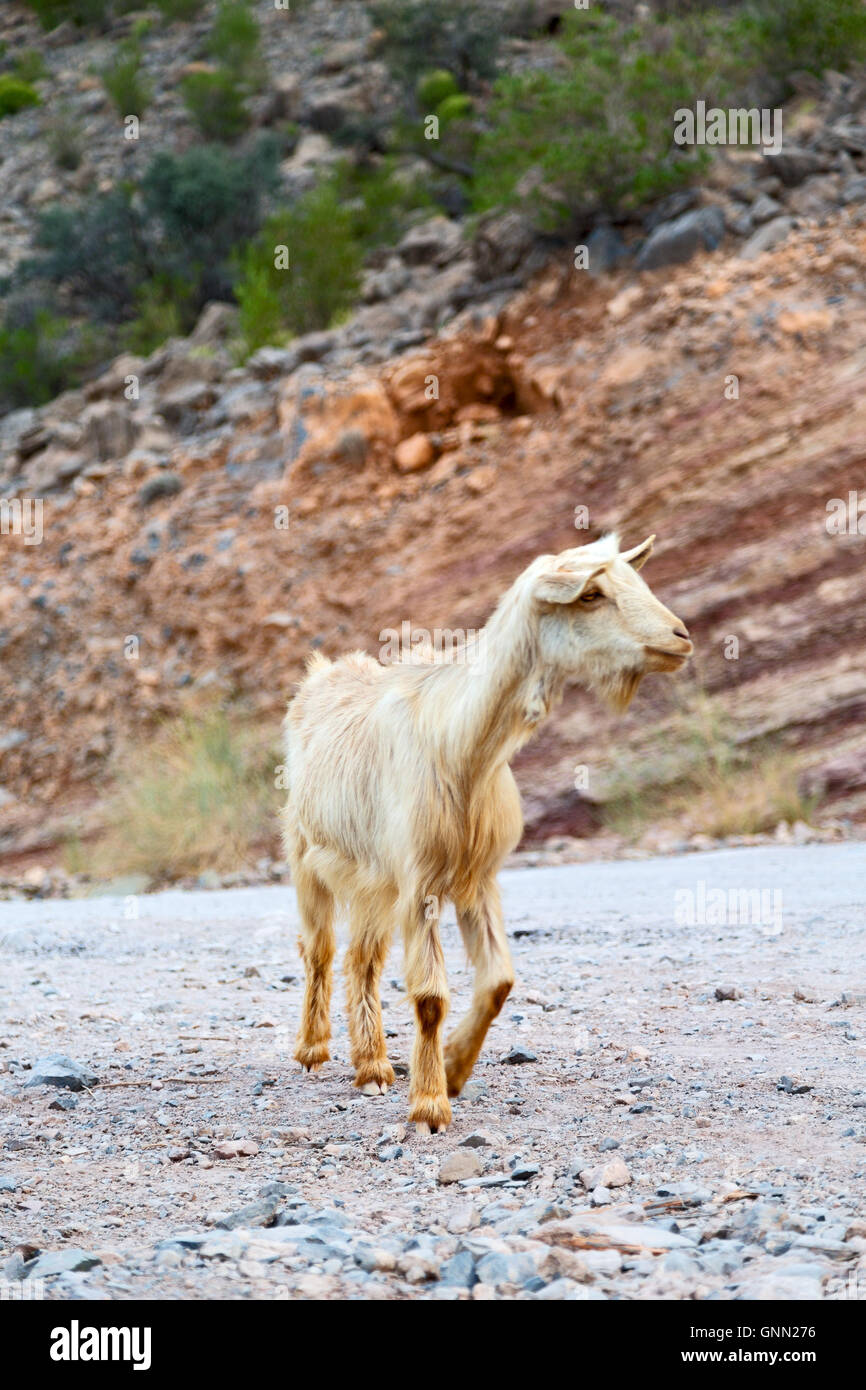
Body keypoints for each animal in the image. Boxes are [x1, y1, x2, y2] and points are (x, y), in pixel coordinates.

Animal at [282, 534, 692, 1131]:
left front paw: (453, 1069)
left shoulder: (477, 878)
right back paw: (314, 1051)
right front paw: (430, 1105)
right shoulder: (422, 881)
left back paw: (373, 1065)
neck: (462, 747)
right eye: (592, 594)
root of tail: (318, 677)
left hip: (374, 879)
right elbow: (430, 995)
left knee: (363, 958)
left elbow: (499, 981)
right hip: (306, 855)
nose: (680, 637)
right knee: (319, 949)